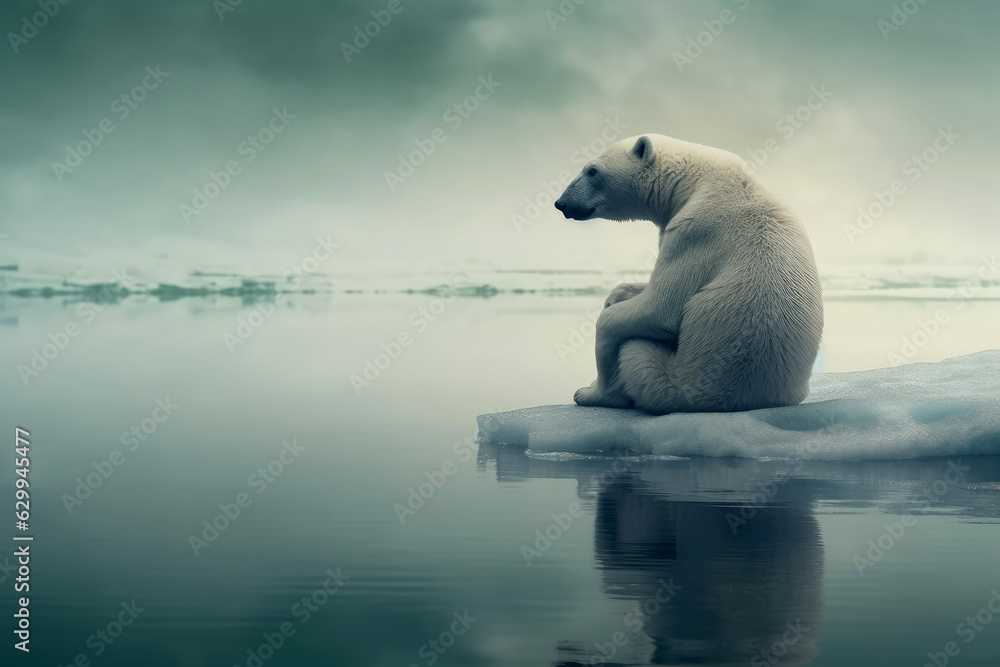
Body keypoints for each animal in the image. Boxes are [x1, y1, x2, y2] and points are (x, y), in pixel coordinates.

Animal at [553, 134, 823, 415]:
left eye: (592, 171)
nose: (561, 203)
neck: (697, 180)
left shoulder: (694, 232)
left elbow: (659, 308)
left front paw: (590, 392)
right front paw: (617, 294)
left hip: (671, 381)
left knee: (633, 351)